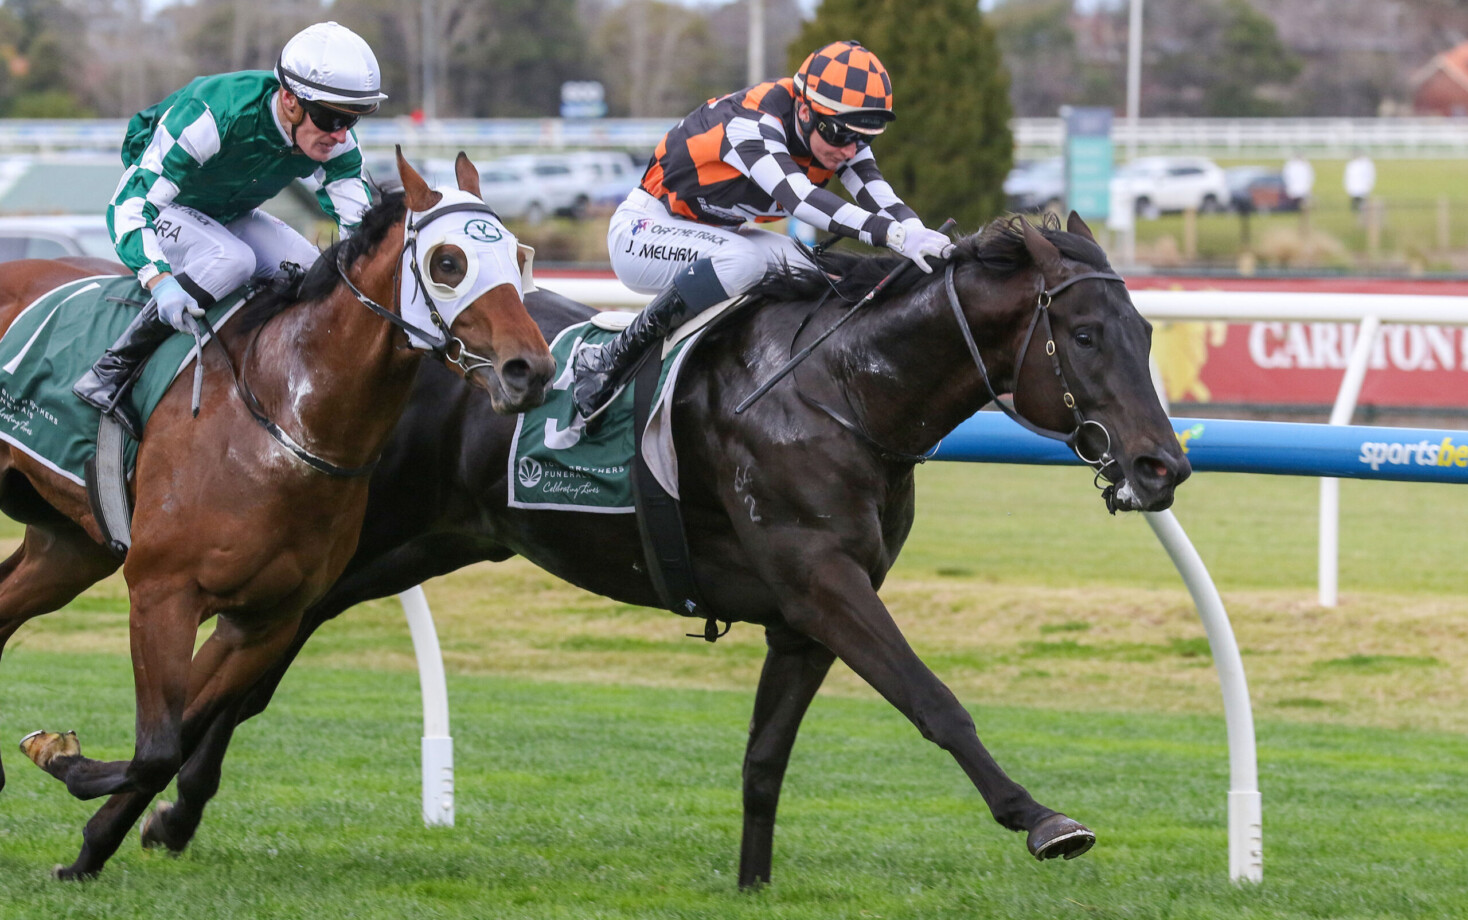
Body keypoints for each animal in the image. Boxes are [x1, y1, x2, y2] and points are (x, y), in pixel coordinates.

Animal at [0, 151, 555, 879]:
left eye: (518, 257)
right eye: (447, 262)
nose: (531, 370)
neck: (281, 423)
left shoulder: (266, 618)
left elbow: (174, 742)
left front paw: (88, 836)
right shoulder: (162, 591)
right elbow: (158, 746)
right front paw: (68, 769)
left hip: (68, 547)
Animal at [94, 213, 1189, 887]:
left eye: (1145, 330)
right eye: (1084, 335)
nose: (1162, 463)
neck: (842, 390)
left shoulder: (805, 616)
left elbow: (763, 757)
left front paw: (752, 883)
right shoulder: (823, 581)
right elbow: (935, 699)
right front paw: (1042, 818)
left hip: (415, 545)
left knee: (254, 663)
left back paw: (167, 807)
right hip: (368, 535)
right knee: (241, 662)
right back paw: (151, 800)